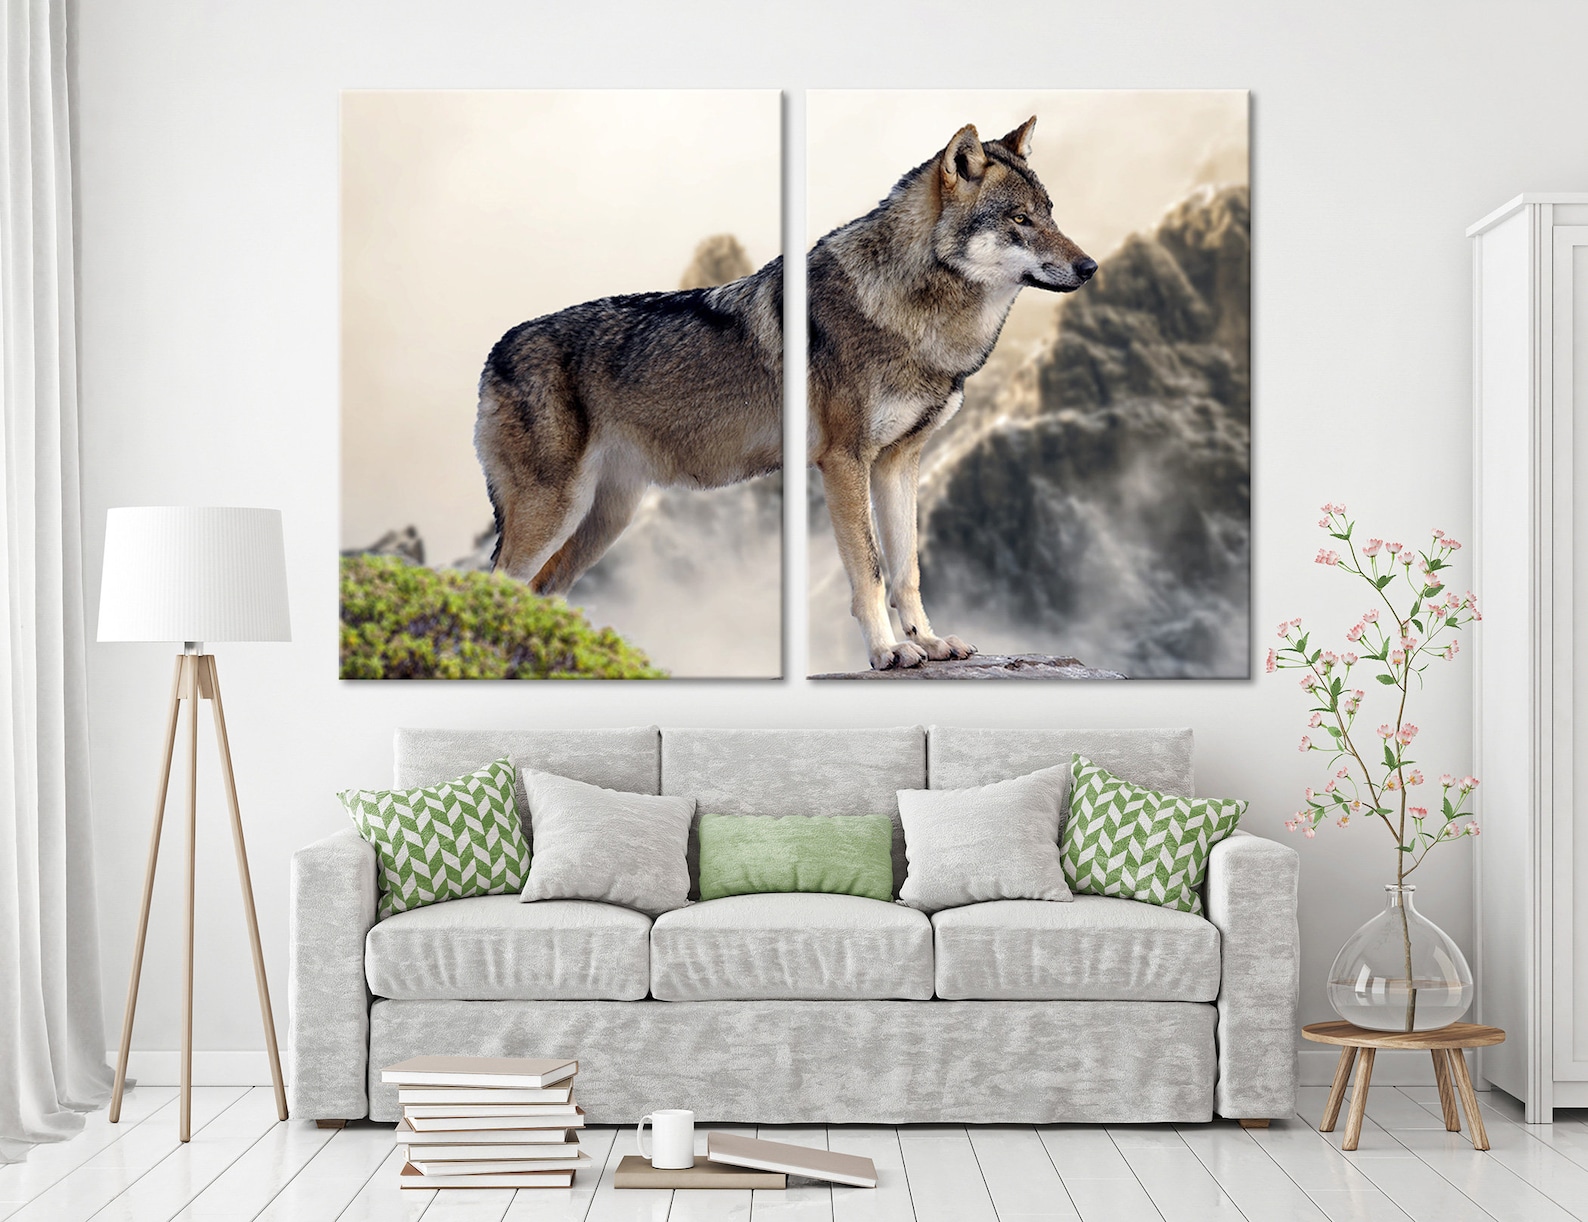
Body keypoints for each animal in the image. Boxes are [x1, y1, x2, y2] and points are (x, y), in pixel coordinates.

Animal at [475, 117, 1094, 669]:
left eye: (1052, 214)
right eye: (1020, 219)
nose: (1089, 266)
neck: (912, 313)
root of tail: (494, 352)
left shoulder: (898, 462)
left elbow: (907, 569)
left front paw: (932, 642)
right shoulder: (844, 461)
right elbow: (870, 570)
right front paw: (889, 651)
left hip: (604, 520)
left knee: (537, 593)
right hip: (555, 512)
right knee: (490, 586)